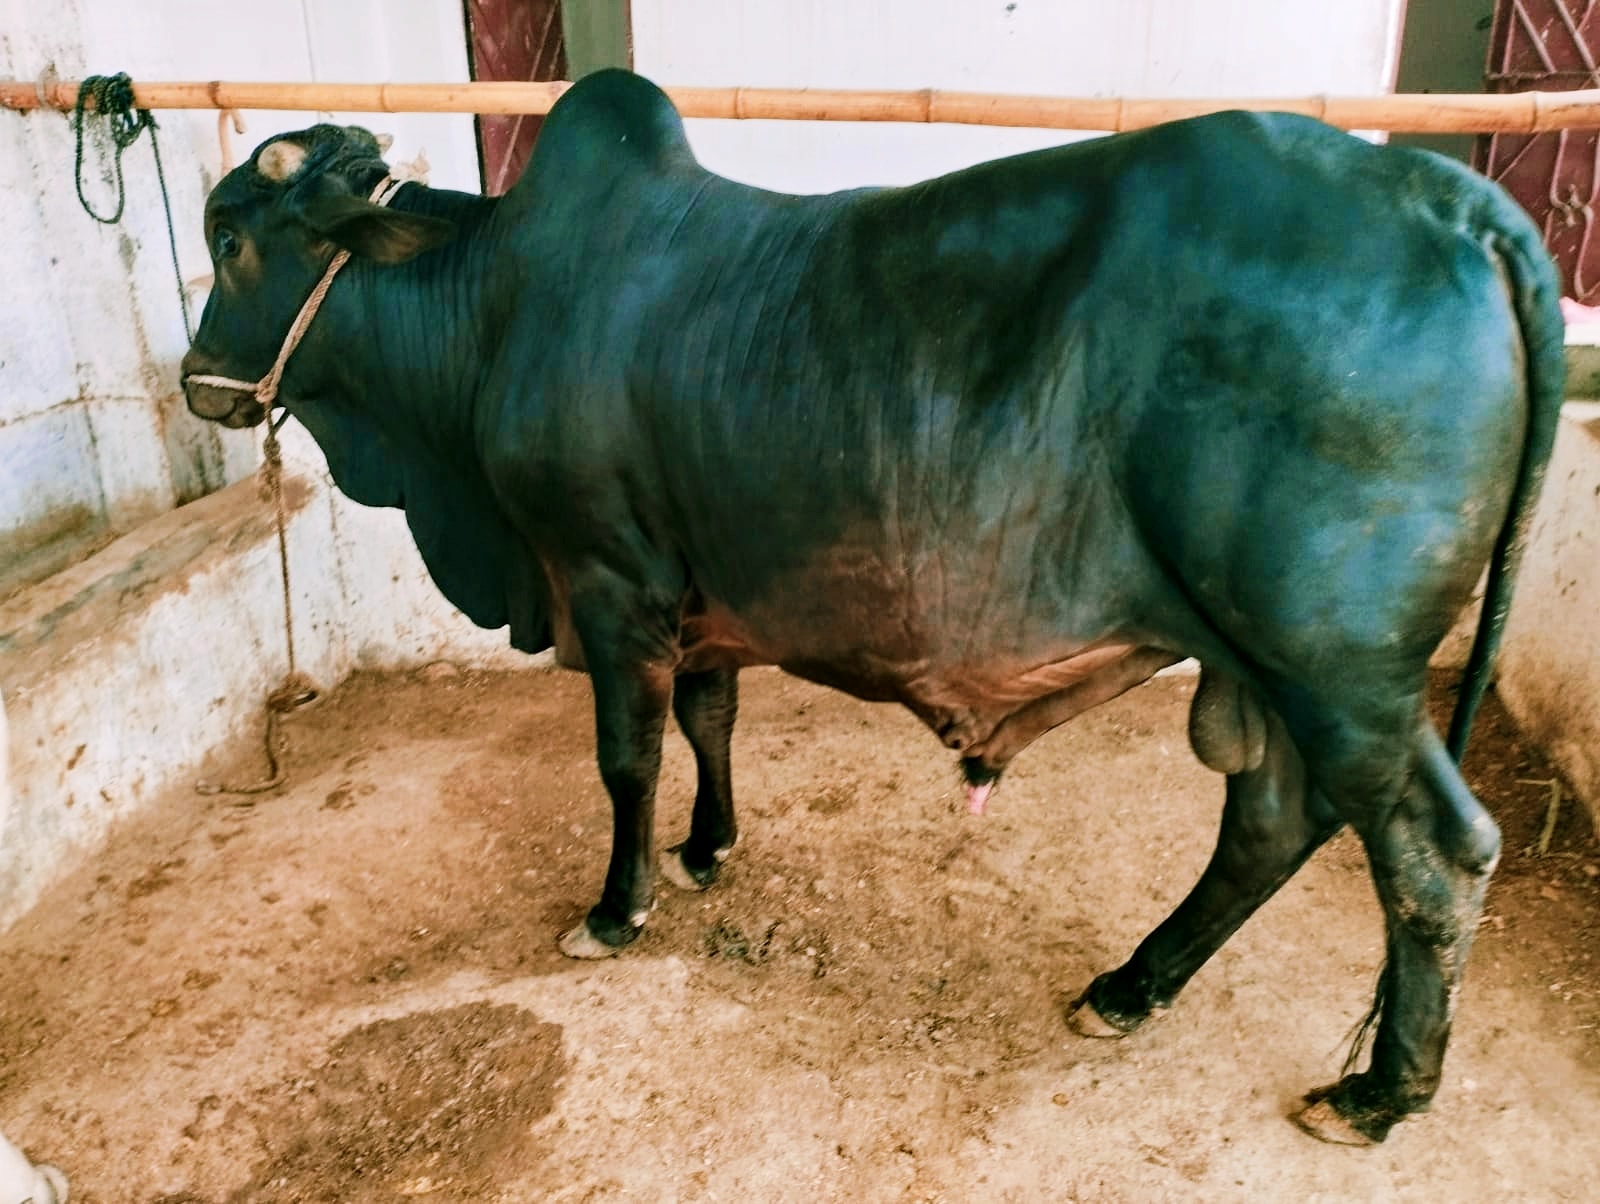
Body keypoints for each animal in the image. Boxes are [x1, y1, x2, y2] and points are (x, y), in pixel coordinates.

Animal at [181, 69, 1564, 1145]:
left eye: (234, 241)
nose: (197, 383)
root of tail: (1463, 203)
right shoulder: (700, 590)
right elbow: (710, 720)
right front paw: (707, 848)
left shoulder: (610, 579)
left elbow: (628, 756)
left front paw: (617, 906)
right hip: (1274, 666)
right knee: (1272, 821)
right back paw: (1131, 985)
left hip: (1338, 667)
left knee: (1434, 854)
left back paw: (1377, 1092)